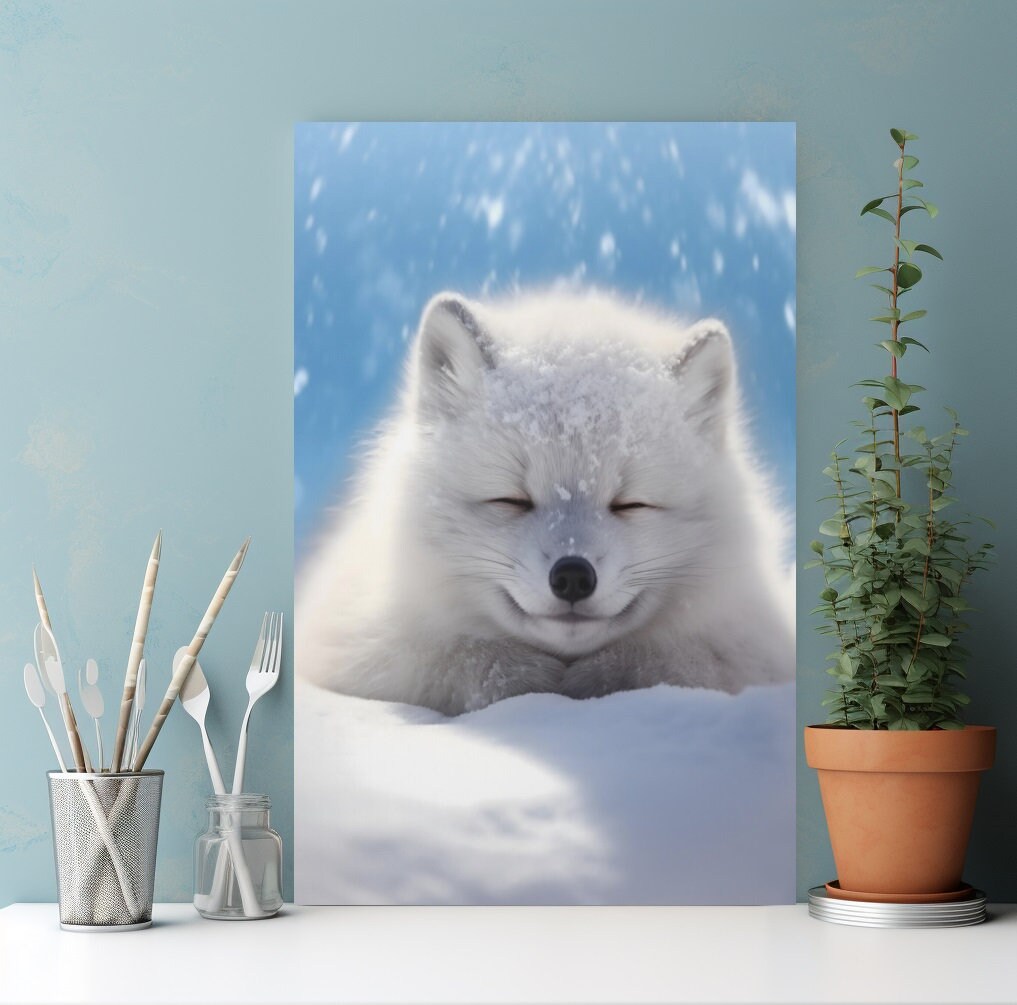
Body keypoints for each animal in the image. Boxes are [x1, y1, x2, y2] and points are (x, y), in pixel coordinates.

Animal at [296, 289, 794, 715]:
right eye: (511, 499)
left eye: (630, 504)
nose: (573, 576)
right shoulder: (350, 639)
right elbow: (458, 661)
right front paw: (523, 676)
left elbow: (668, 662)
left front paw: (601, 678)